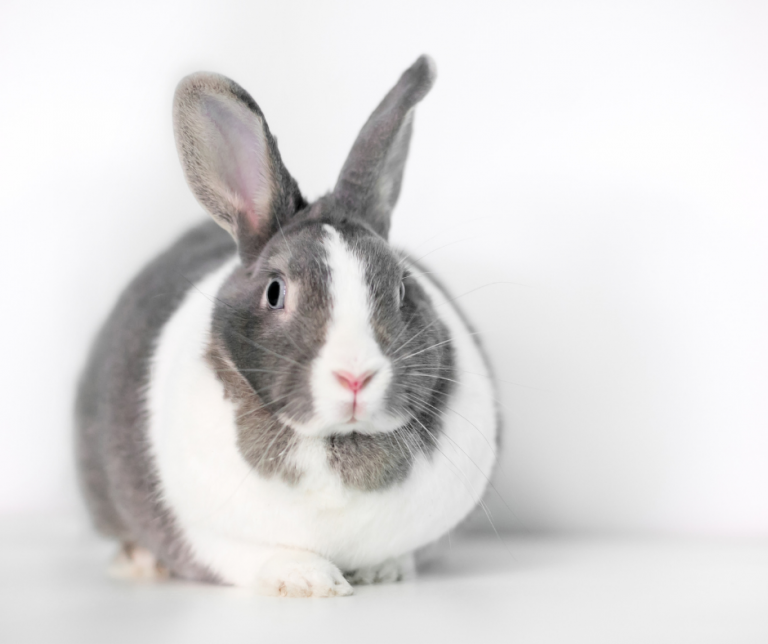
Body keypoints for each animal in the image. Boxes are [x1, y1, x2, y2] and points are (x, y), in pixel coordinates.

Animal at [75, 55, 498, 597]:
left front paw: (381, 571)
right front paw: (310, 580)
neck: (336, 440)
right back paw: (140, 562)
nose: (355, 377)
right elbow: (260, 556)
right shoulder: (213, 537)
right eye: (275, 291)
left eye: (404, 288)